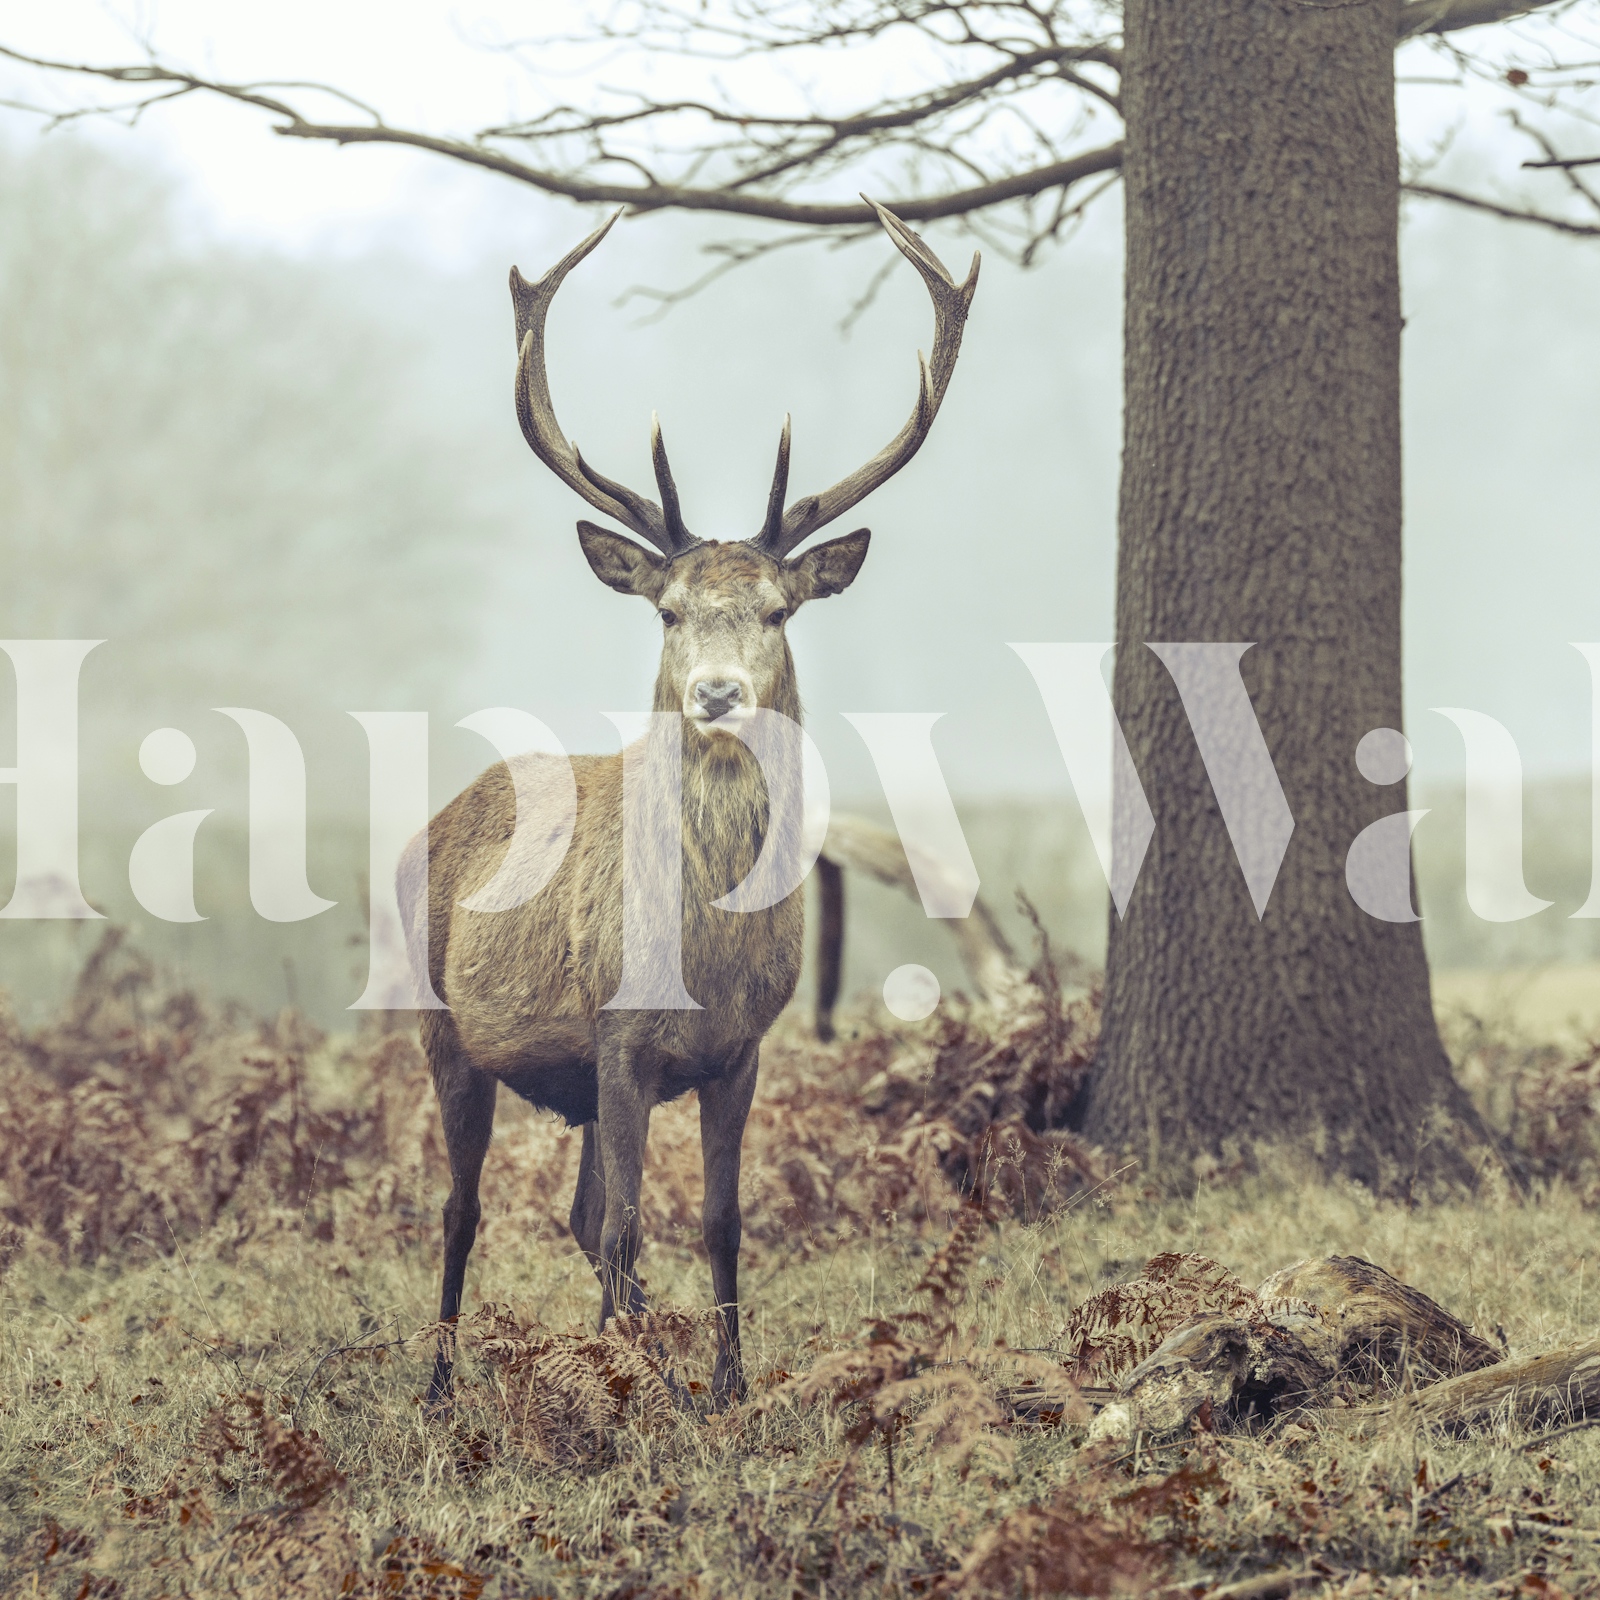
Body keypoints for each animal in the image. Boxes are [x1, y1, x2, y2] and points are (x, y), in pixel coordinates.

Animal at [402, 199, 978, 1409]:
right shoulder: (620, 1034)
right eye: (667, 611)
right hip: (438, 1020)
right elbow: (631, 1226)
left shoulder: (740, 1048)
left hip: (567, 1076)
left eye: (778, 609)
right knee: (465, 1207)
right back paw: (437, 1383)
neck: (705, 955)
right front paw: (635, 1394)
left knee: (576, 1215)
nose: (717, 690)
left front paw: (724, 1385)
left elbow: (716, 1221)